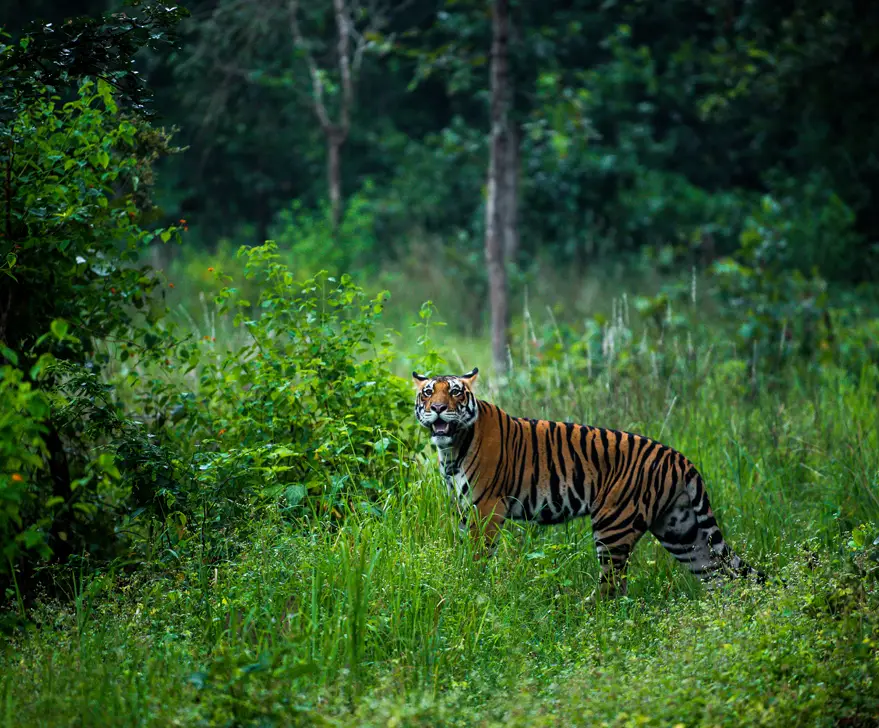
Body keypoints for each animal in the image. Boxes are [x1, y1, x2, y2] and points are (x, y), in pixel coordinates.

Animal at [412, 367, 766, 600]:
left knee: (613, 588)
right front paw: (459, 578)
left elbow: (477, 554)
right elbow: (462, 549)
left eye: (455, 392)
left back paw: (576, 613)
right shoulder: (463, 507)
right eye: (428, 392)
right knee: (717, 574)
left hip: (613, 524)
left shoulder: (486, 507)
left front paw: (472, 585)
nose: (438, 409)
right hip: (680, 530)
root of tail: (680, 458)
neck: (451, 448)